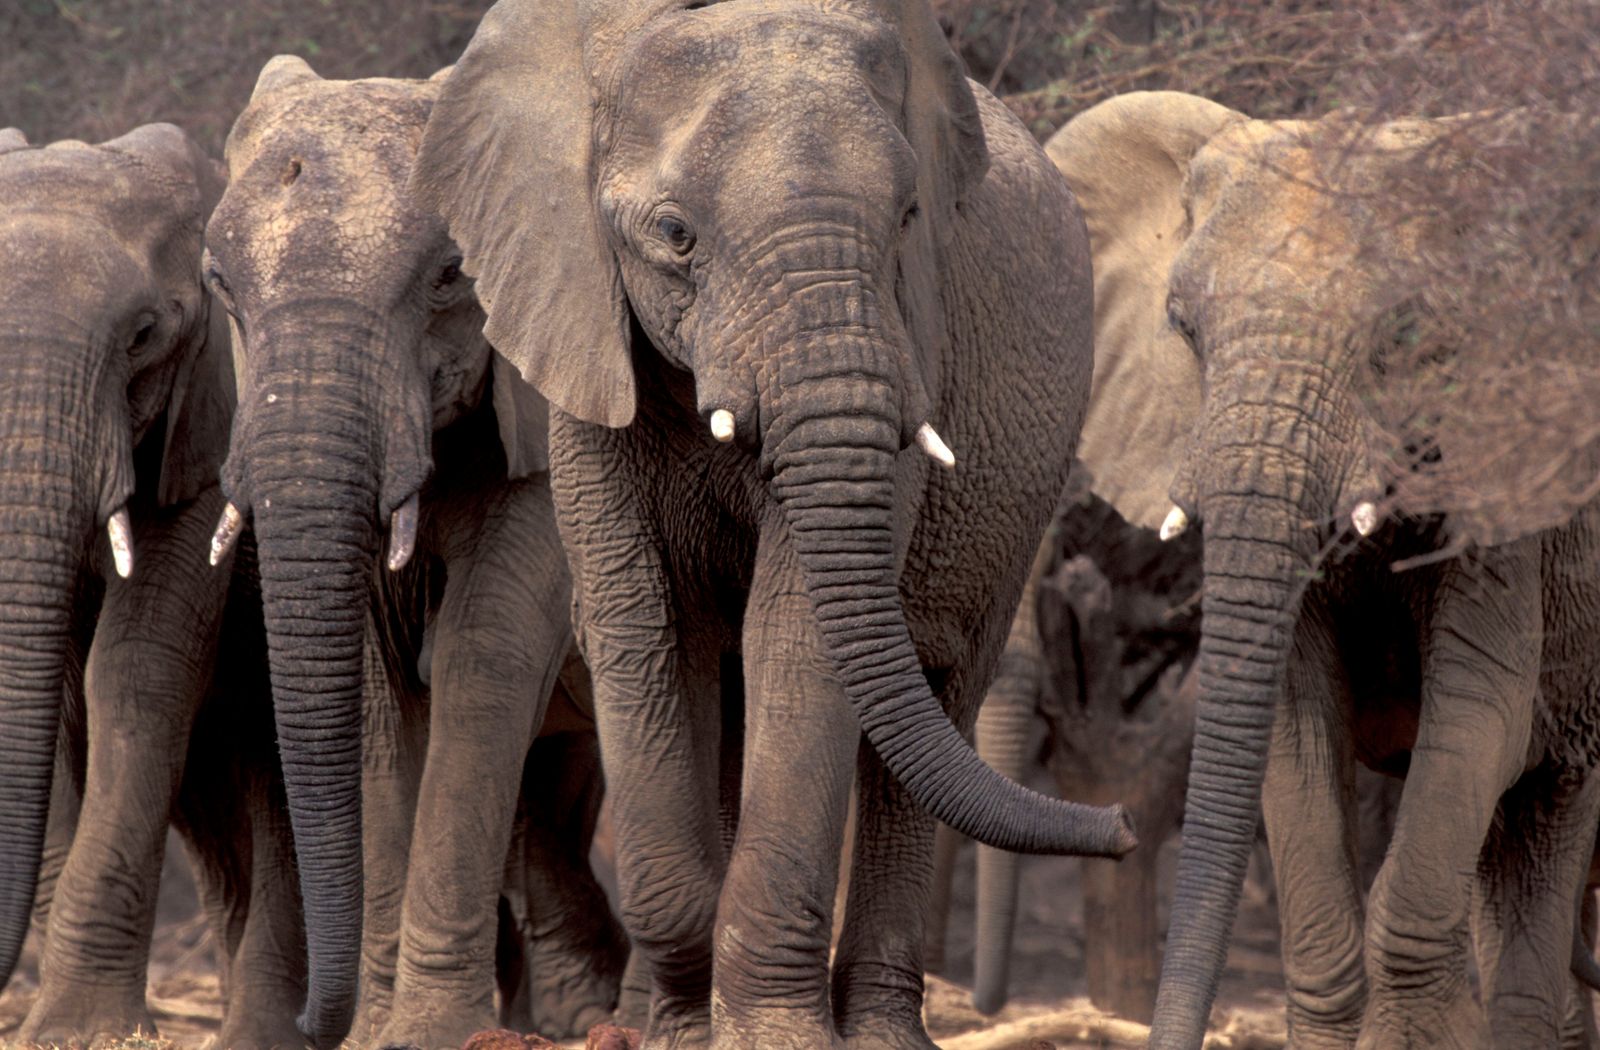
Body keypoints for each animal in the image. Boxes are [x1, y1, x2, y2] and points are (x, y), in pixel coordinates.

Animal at [202, 57, 627, 1049]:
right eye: (219, 283)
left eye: (449, 276)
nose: (310, 1022)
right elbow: (379, 690)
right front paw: (379, 1034)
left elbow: (483, 652)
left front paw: (428, 1030)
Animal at [410, 0, 1137, 1047]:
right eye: (674, 234)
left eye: (909, 219)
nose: (1122, 826)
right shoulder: (584, 348)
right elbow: (647, 625)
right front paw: (683, 1029)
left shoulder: (907, 347)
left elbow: (799, 635)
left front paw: (770, 1034)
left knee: (938, 695)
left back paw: (878, 1032)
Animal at [1048, 91, 1600, 1049]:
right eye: (1181, 325)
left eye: (1407, 334)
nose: (1118, 825)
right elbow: (1293, 719)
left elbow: (1479, 710)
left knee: (1550, 802)